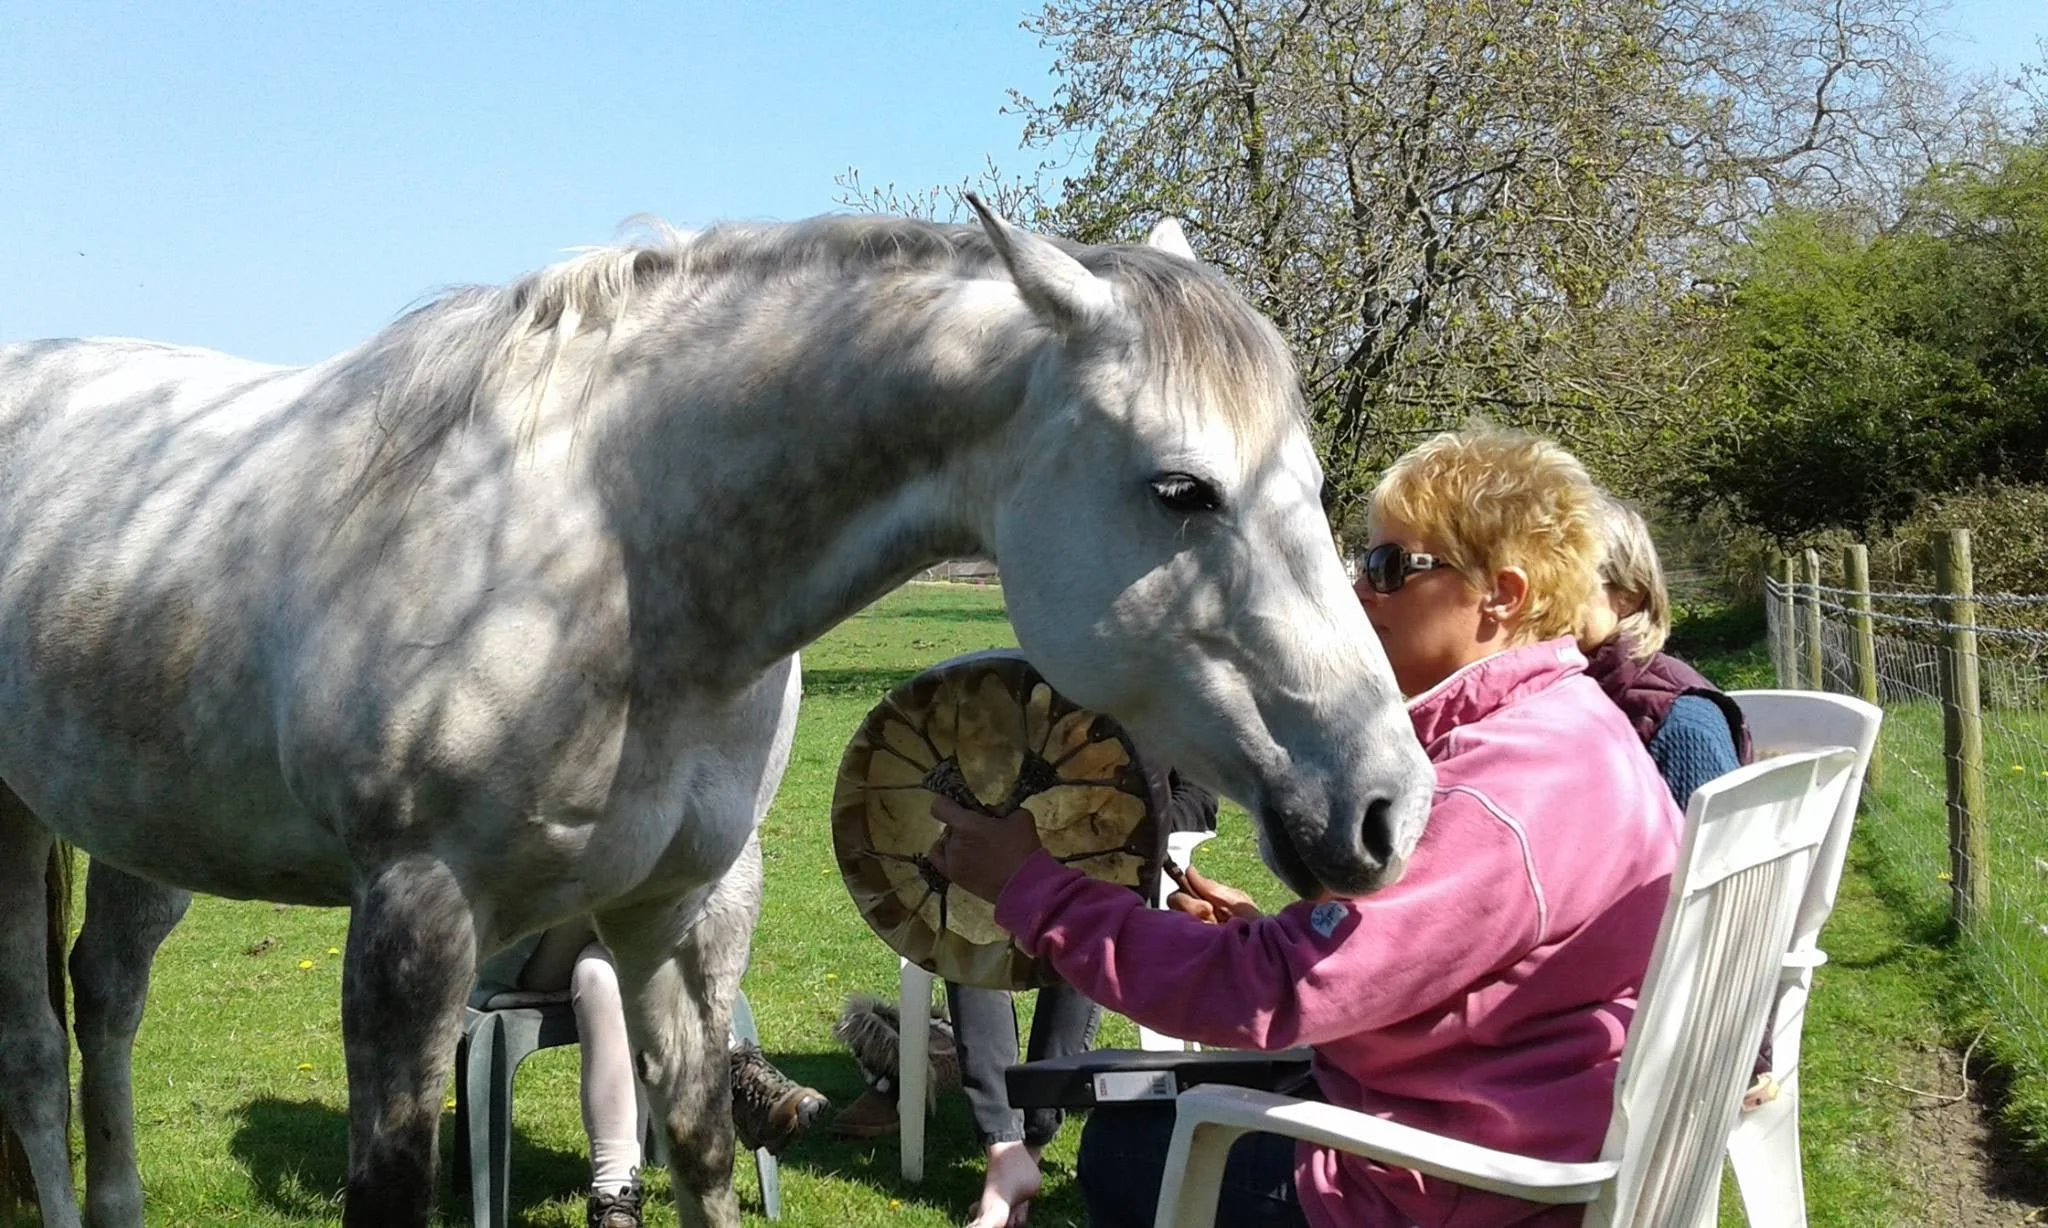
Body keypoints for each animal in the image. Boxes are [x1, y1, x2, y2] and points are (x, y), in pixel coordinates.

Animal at [0, 199, 1435, 1228]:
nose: (1385, 805)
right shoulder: (415, 922)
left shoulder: (679, 912)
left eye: (1311, 480)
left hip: (145, 833)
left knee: (107, 1001)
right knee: (35, 1049)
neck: (613, 554)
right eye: (1180, 488)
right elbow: (392, 1187)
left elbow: (695, 1140)